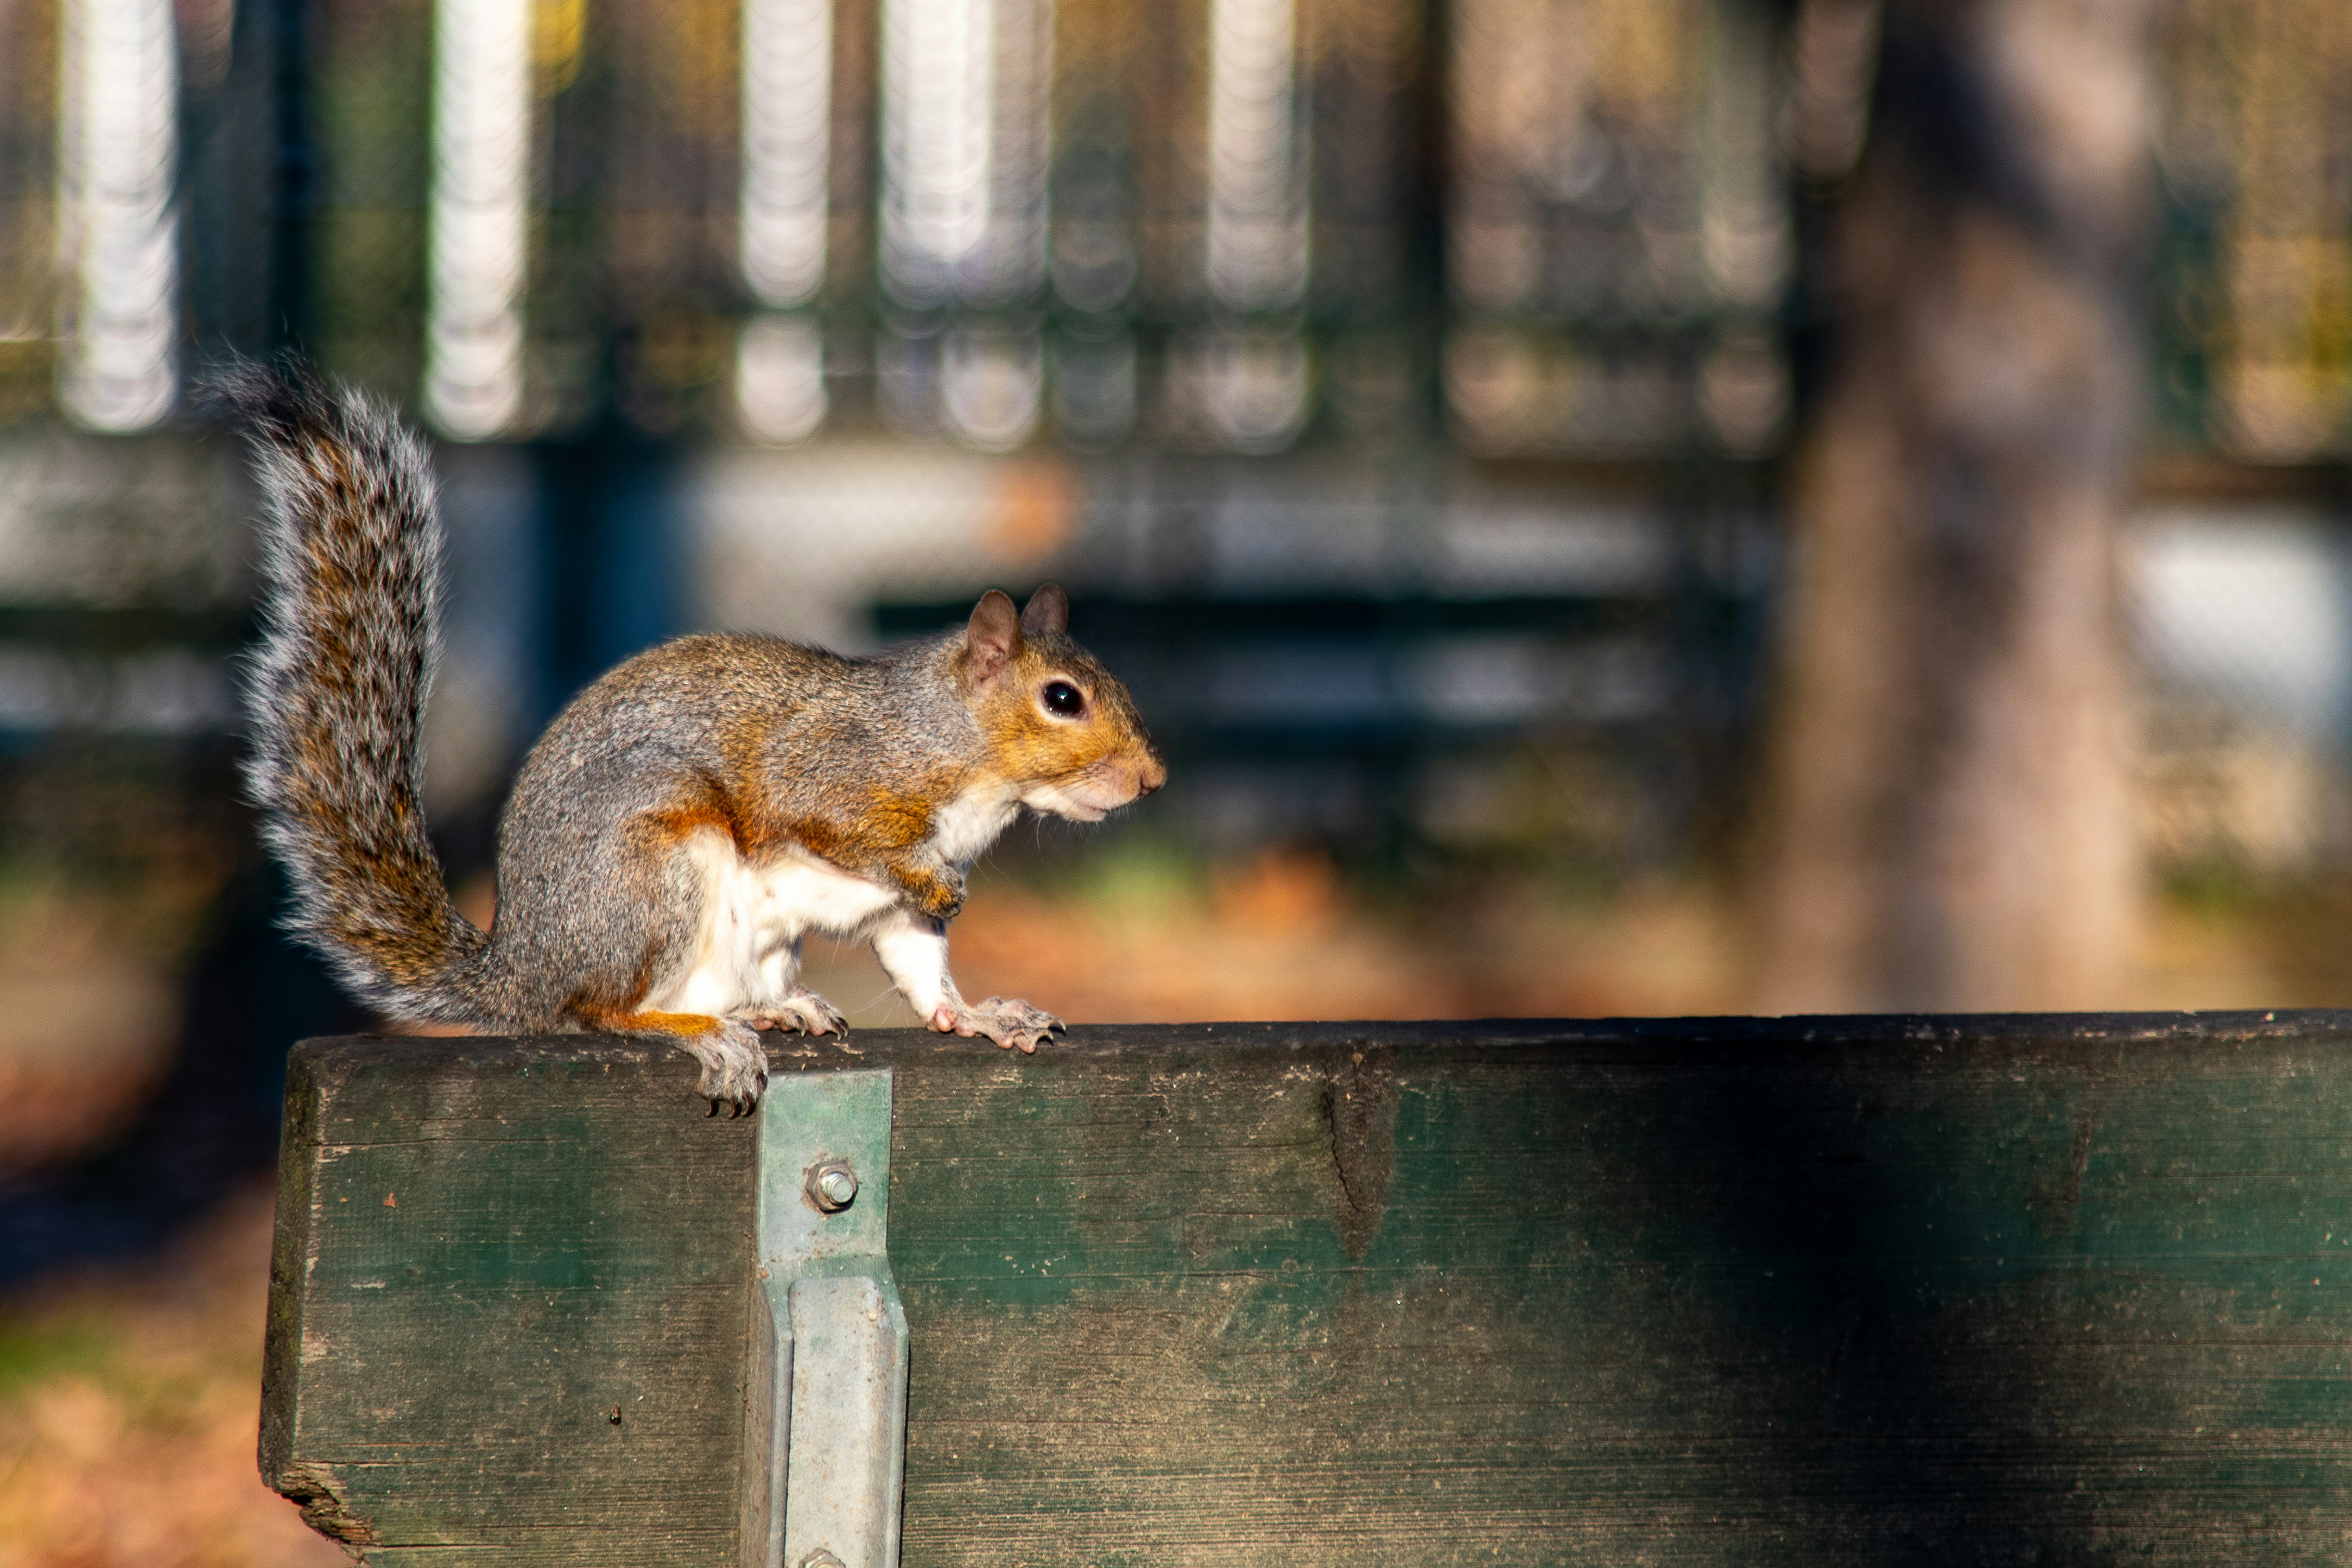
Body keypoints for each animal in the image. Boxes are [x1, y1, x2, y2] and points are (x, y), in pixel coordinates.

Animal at [221, 361, 1165, 1112]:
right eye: (1061, 698)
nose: (1152, 781)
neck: (966, 759)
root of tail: (523, 969)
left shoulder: (899, 913)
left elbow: (922, 970)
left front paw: (980, 1016)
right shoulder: (832, 770)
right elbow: (835, 825)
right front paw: (936, 882)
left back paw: (775, 1008)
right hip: (654, 869)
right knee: (599, 1010)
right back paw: (702, 1031)